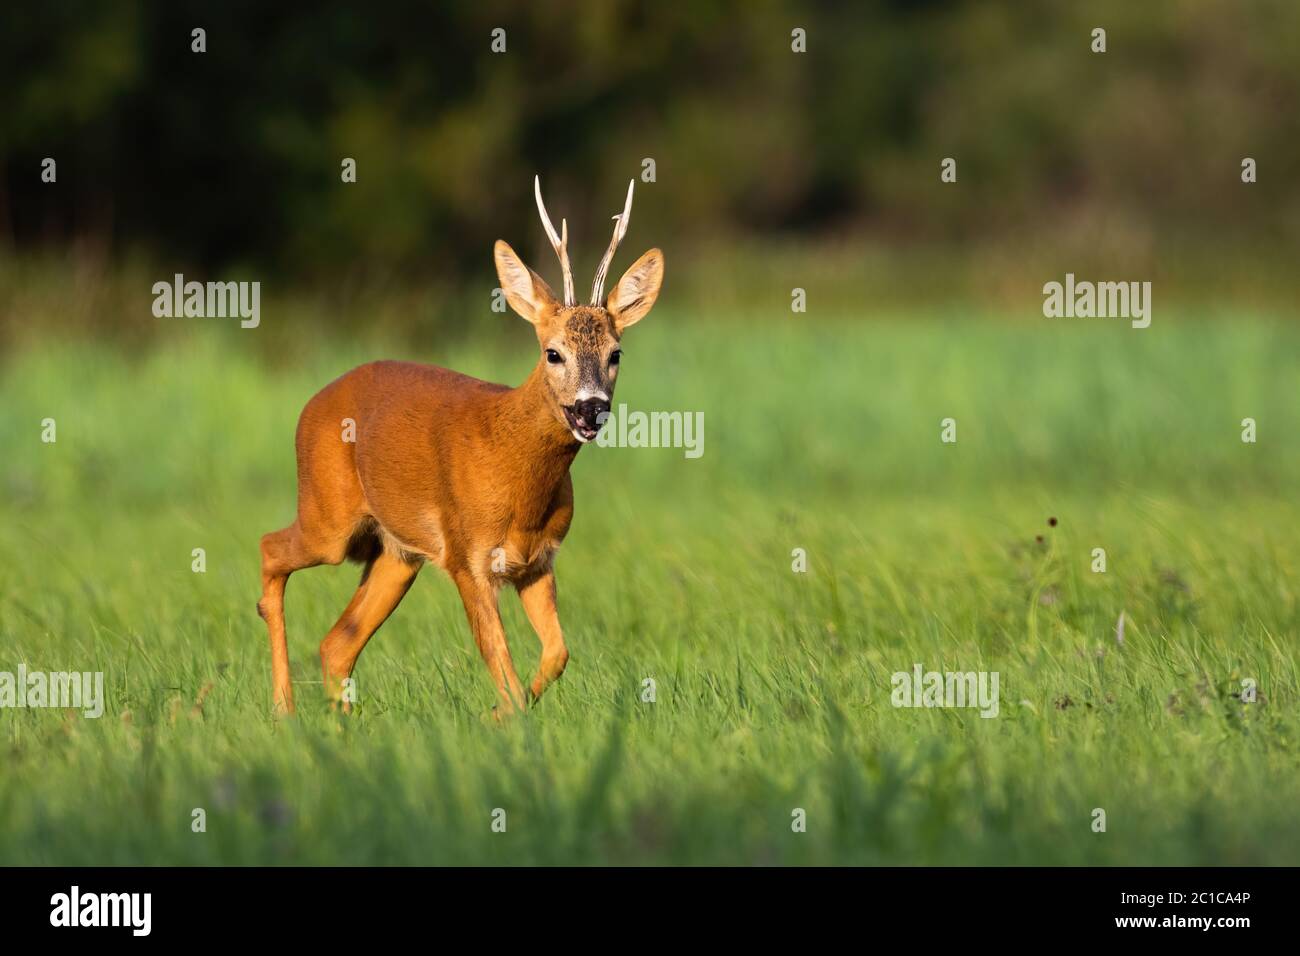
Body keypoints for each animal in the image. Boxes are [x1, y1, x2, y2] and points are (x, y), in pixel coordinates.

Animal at [256, 176, 663, 717]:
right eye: (552, 352)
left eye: (616, 354)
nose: (590, 408)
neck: (515, 472)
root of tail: (310, 404)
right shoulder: (465, 554)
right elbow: (503, 665)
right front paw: (502, 714)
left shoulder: (538, 559)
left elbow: (557, 653)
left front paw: (503, 712)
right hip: (328, 518)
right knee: (270, 548)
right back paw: (283, 708)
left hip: (397, 552)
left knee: (336, 641)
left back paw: (336, 721)